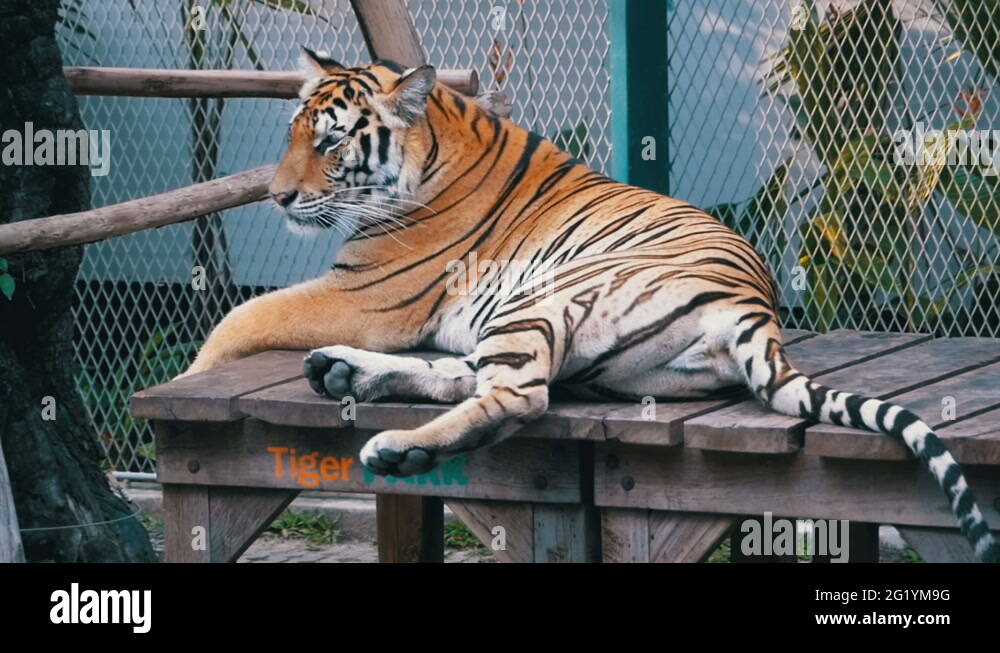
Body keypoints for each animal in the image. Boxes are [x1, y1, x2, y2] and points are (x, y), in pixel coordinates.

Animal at [181, 48, 999, 562]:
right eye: (292, 134)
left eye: (328, 143)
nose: (275, 196)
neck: (437, 141)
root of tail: (757, 310)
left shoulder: (366, 293)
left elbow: (234, 321)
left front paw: (190, 377)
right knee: (482, 378)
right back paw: (346, 375)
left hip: (536, 295)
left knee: (516, 395)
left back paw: (395, 445)